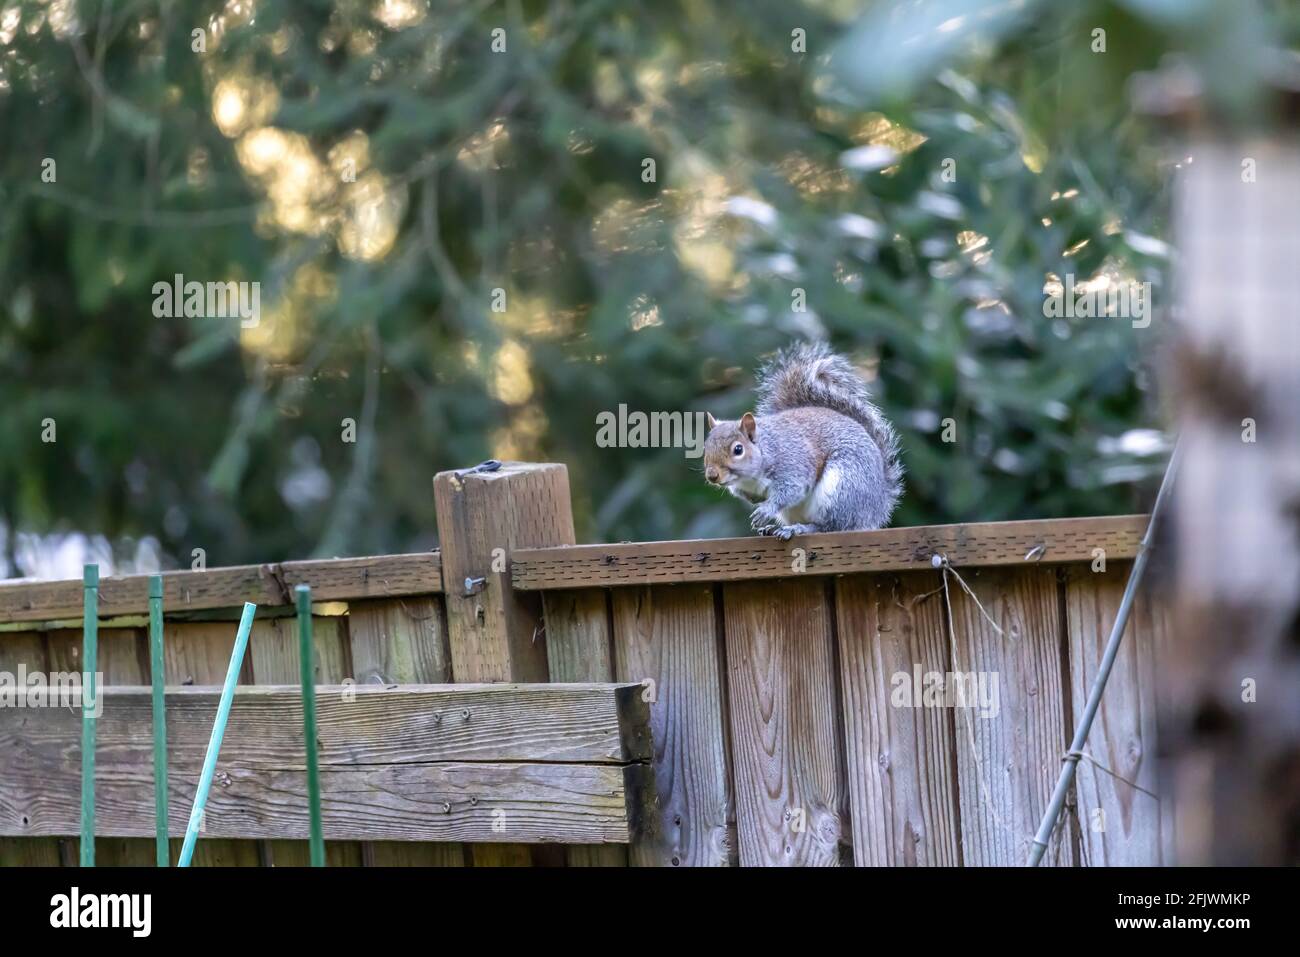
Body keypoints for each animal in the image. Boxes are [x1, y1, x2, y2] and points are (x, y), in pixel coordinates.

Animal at [703, 343, 903, 540]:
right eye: (706, 447)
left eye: (738, 450)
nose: (712, 475)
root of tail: (878, 506)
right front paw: (757, 502)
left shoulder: (792, 466)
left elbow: (790, 491)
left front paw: (766, 510)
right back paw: (773, 529)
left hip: (842, 489)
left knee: (831, 527)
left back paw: (799, 529)